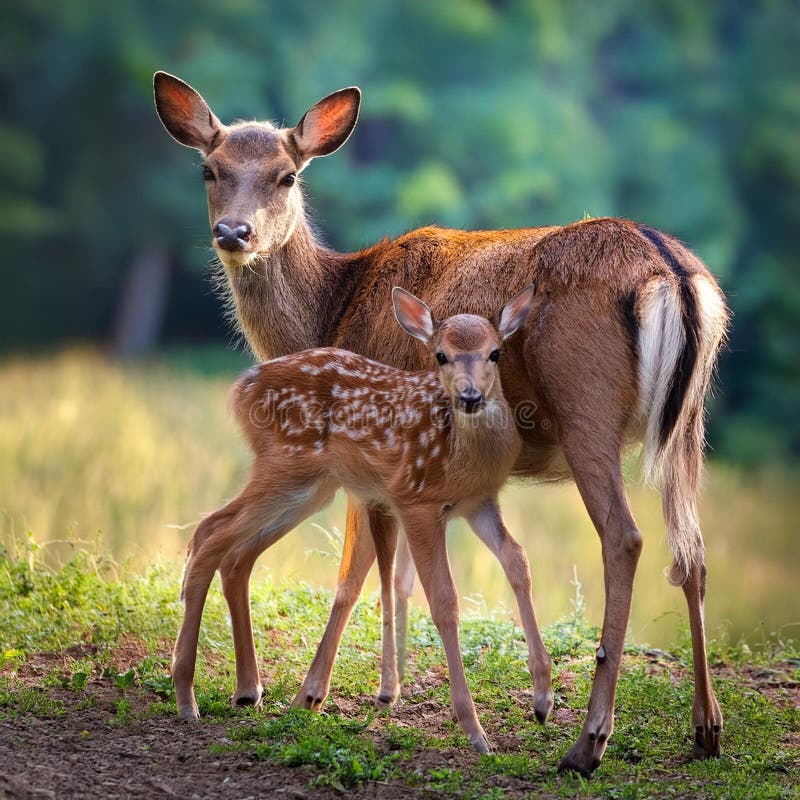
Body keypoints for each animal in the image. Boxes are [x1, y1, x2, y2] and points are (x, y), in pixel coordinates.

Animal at [173, 285, 544, 753]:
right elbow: (444, 601)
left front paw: (544, 699)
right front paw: (474, 731)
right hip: (287, 467)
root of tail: (241, 388)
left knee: (230, 547)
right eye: (440, 355)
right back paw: (186, 697)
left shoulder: (479, 504)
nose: (470, 397)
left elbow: (518, 560)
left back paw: (247, 691)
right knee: (211, 536)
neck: (461, 456)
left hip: (310, 487)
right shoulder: (416, 501)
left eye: (495, 352)